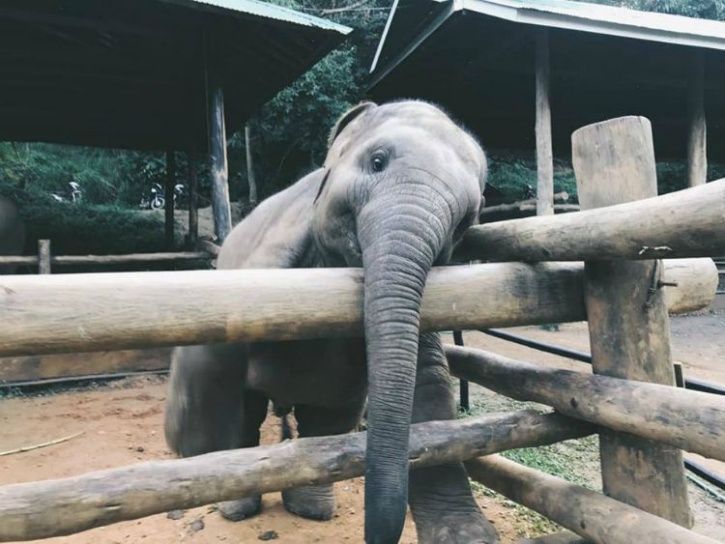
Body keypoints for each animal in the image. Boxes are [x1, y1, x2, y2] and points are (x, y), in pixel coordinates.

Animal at [165, 101, 497, 544]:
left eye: (466, 220)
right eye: (377, 161)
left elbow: (427, 383)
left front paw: (468, 536)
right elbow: (214, 372)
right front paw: (191, 460)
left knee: (322, 421)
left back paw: (309, 510)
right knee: (248, 412)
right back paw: (239, 509)